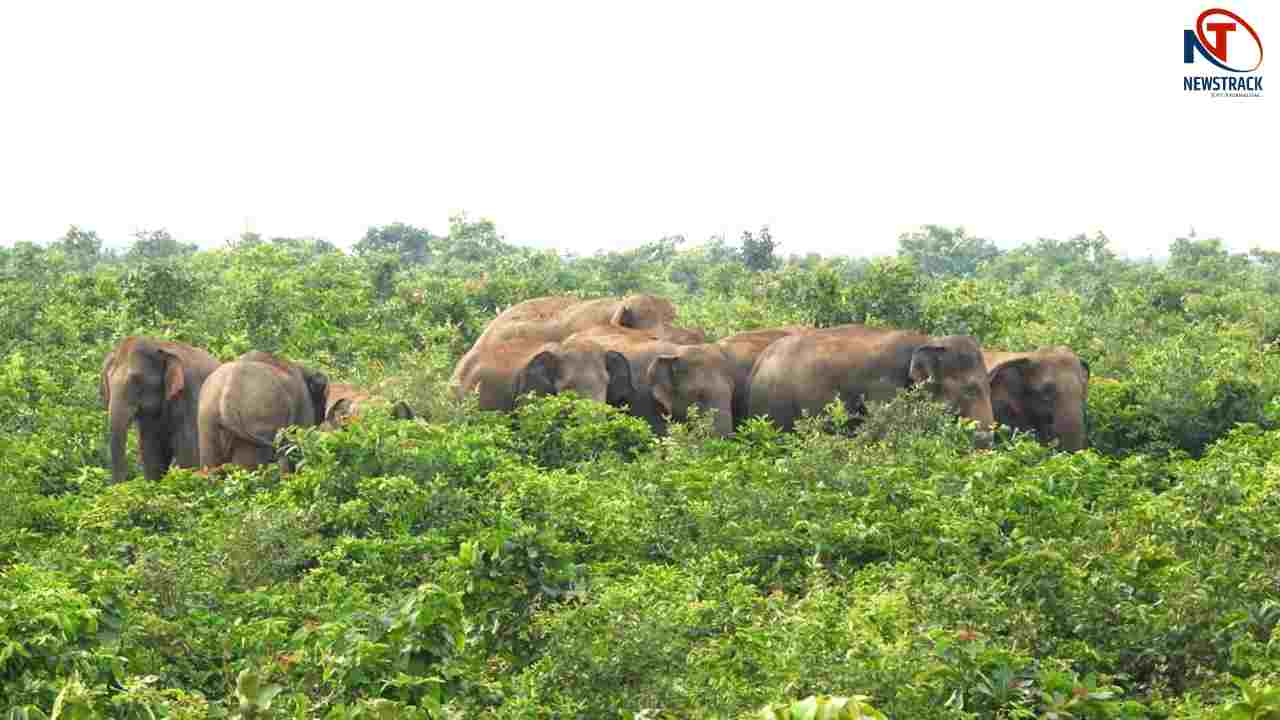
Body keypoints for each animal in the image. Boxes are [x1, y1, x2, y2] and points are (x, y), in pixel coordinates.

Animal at [100, 336, 222, 483]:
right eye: (107, 379)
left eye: (137, 380)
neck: (159, 345)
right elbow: (152, 456)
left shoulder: (193, 395)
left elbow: (190, 455)